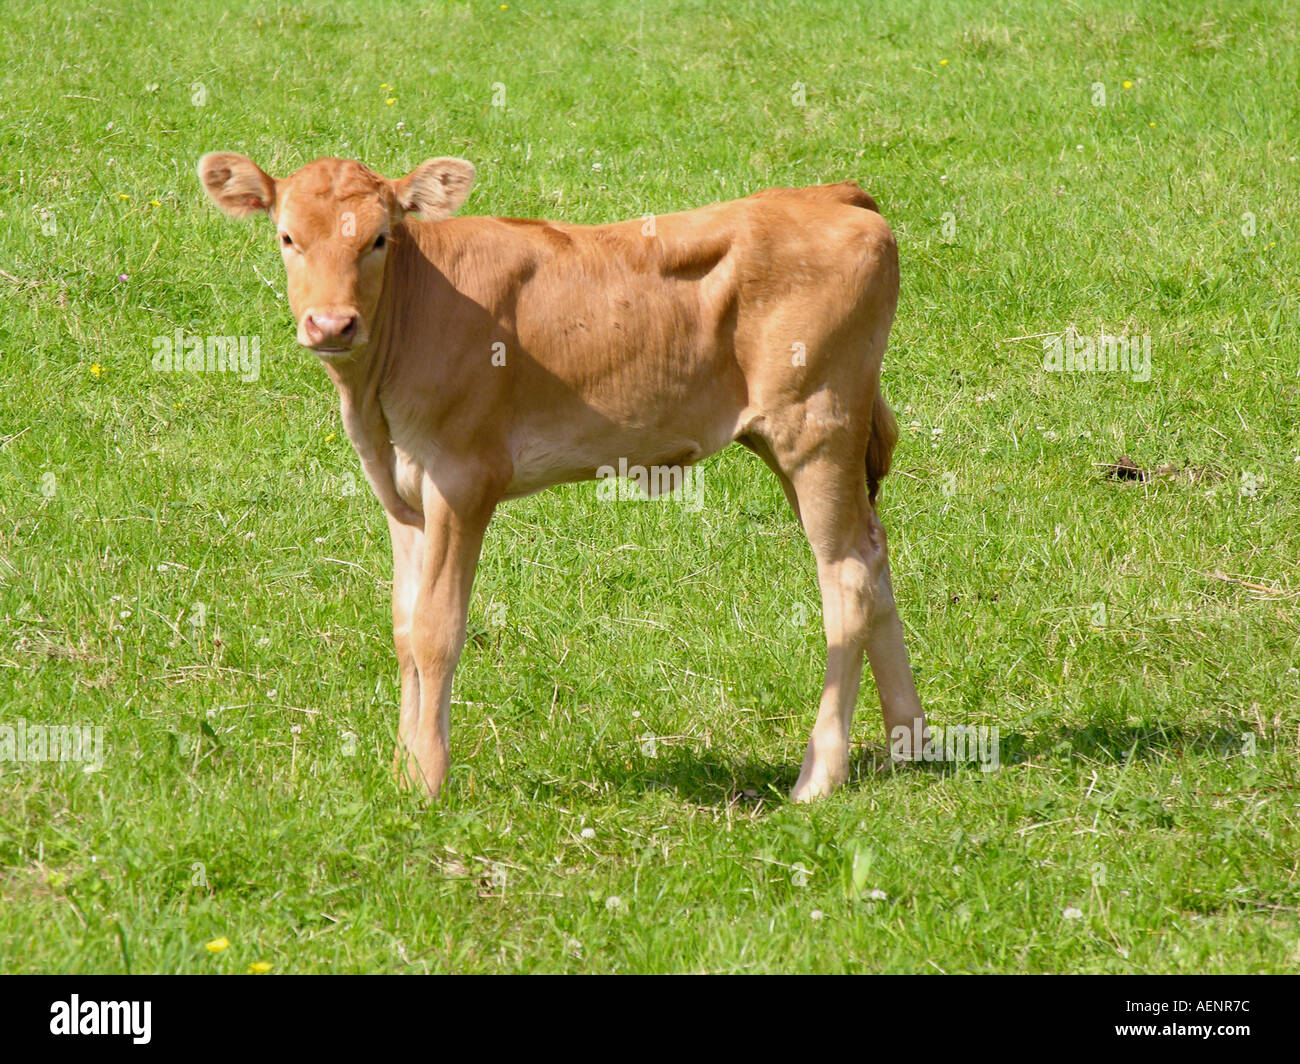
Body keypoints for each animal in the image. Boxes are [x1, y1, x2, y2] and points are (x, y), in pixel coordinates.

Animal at [198, 152, 930, 802]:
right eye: (287, 236)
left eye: (379, 237)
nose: (331, 323)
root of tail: (830, 194)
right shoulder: (399, 494)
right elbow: (404, 630)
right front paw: (404, 773)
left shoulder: (464, 478)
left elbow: (437, 630)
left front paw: (429, 781)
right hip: (798, 439)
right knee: (873, 553)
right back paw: (910, 741)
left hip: (815, 428)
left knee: (846, 578)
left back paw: (818, 777)